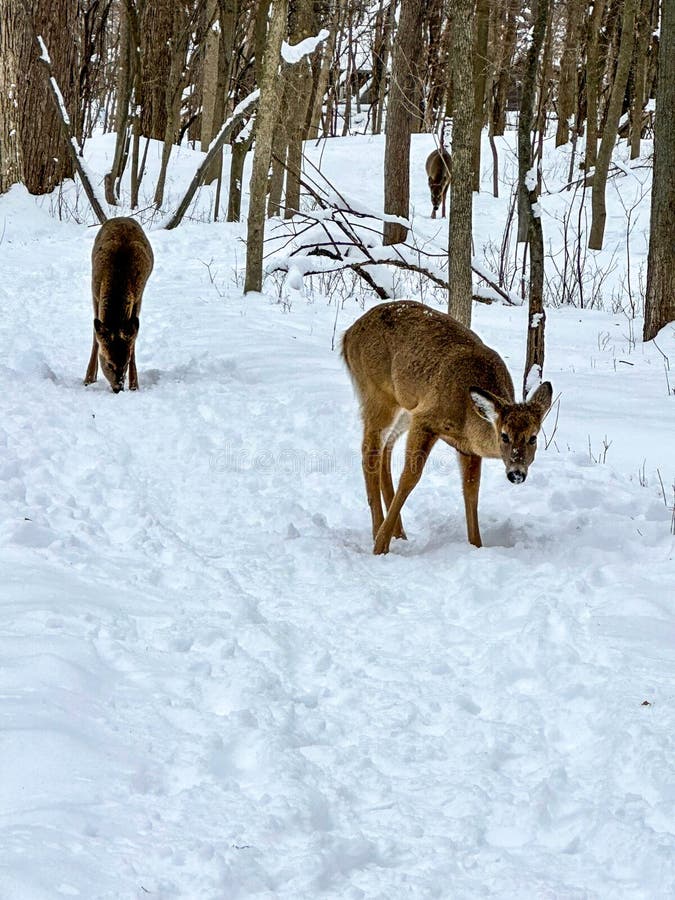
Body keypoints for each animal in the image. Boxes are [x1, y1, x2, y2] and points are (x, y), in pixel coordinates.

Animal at [84, 217, 154, 393]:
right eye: (109, 363)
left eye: (126, 362)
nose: (118, 388)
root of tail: (123, 217)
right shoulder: (94, 293)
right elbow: (95, 338)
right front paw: (88, 379)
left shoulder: (138, 298)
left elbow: (133, 342)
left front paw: (134, 385)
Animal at [342, 301, 553, 555]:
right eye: (504, 436)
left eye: (533, 437)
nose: (516, 473)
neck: (466, 417)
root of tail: (348, 335)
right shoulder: (425, 418)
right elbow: (410, 477)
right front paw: (380, 546)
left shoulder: (467, 448)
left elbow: (471, 490)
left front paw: (476, 545)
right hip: (377, 394)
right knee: (370, 453)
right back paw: (379, 534)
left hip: (404, 408)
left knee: (385, 451)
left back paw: (399, 533)